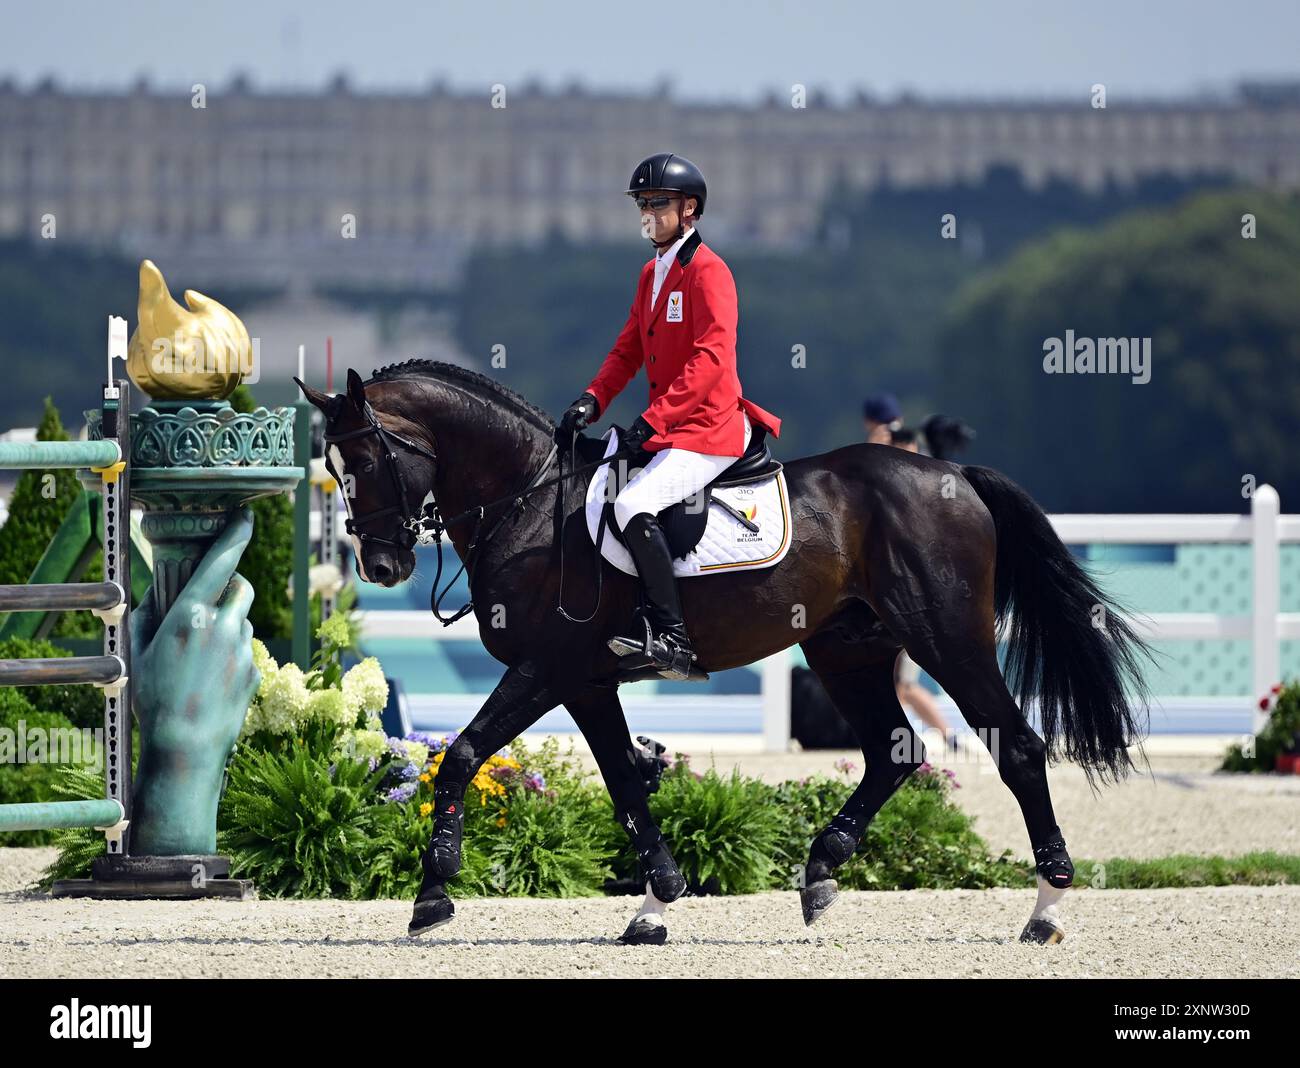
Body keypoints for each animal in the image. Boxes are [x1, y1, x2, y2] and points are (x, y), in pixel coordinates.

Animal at [296, 361, 1150, 946]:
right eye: (332, 469)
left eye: (363, 462)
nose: (380, 567)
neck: (530, 501)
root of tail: (951, 474)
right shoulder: (586, 681)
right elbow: (624, 784)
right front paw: (657, 901)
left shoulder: (546, 669)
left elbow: (466, 753)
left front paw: (432, 895)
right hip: (848, 651)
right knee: (893, 752)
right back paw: (821, 870)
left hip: (948, 640)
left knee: (1019, 748)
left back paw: (1047, 907)